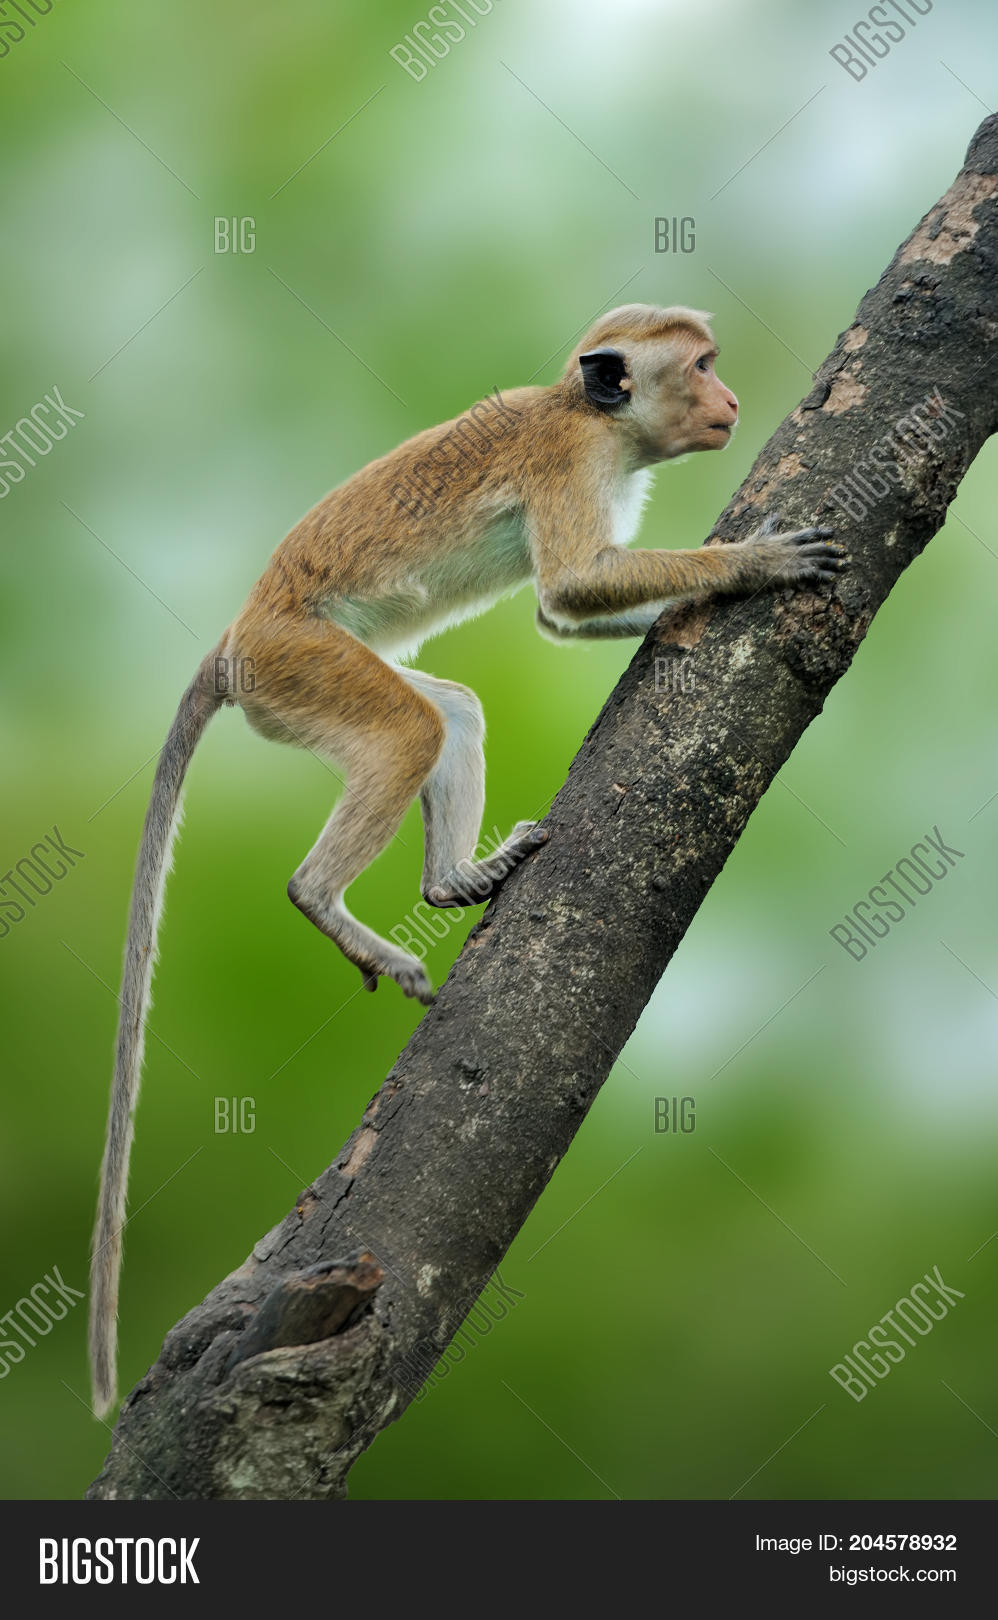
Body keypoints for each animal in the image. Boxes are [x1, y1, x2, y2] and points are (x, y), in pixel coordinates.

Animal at [89, 302, 846, 1416]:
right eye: (701, 365)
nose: (731, 398)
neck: (593, 415)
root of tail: (234, 639)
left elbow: (556, 609)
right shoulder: (573, 460)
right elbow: (571, 582)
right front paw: (755, 567)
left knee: (445, 714)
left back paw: (458, 881)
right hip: (299, 667)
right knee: (406, 730)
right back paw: (327, 899)